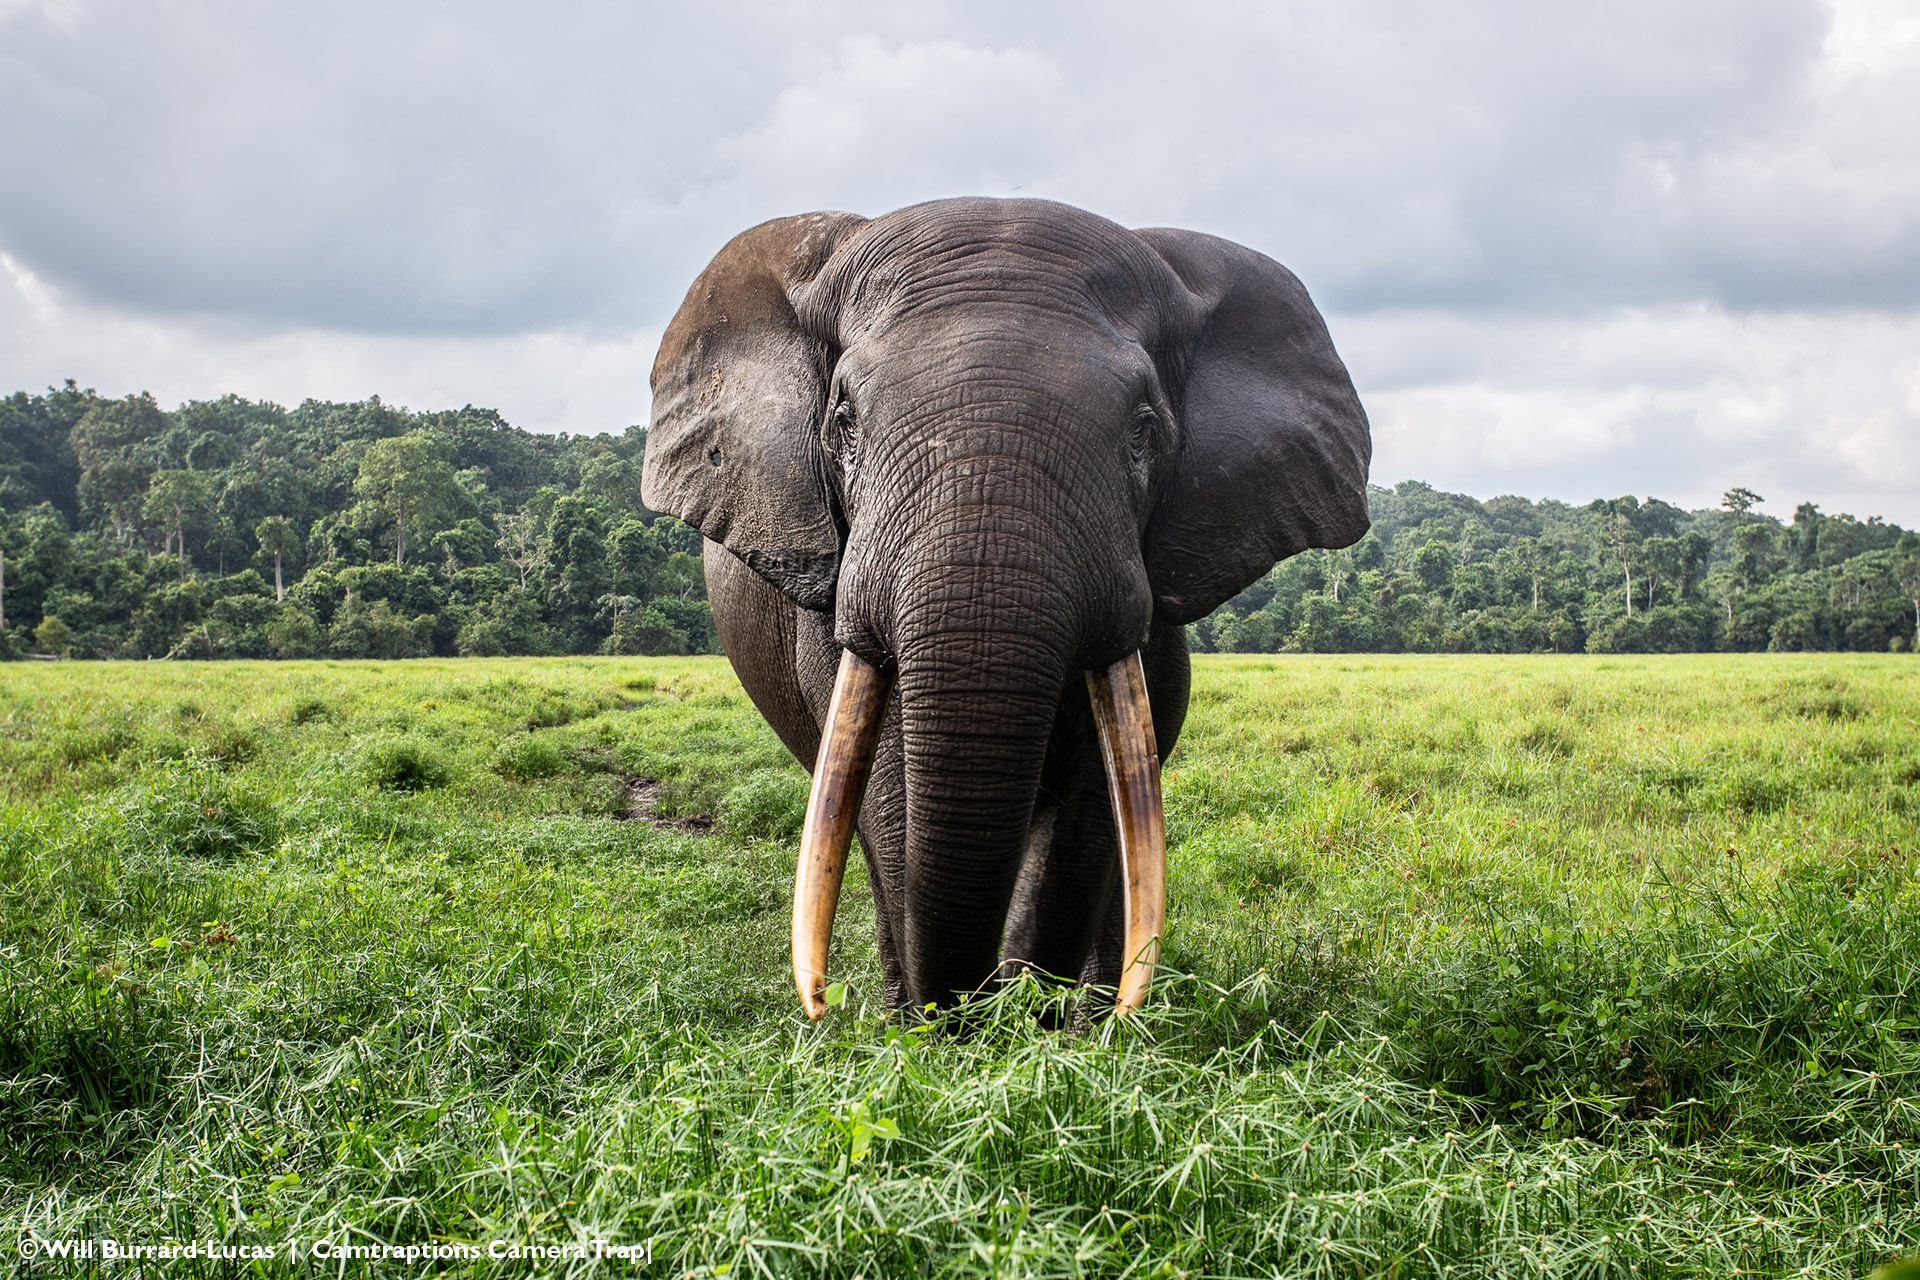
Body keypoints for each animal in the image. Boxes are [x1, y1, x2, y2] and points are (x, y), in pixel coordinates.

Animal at [640, 198, 1370, 1019]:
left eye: (1144, 429)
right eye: (844, 421)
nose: (977, 1013)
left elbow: (1098, 792)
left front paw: (1046, 1028)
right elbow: (890, 781)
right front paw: (938, 1033)